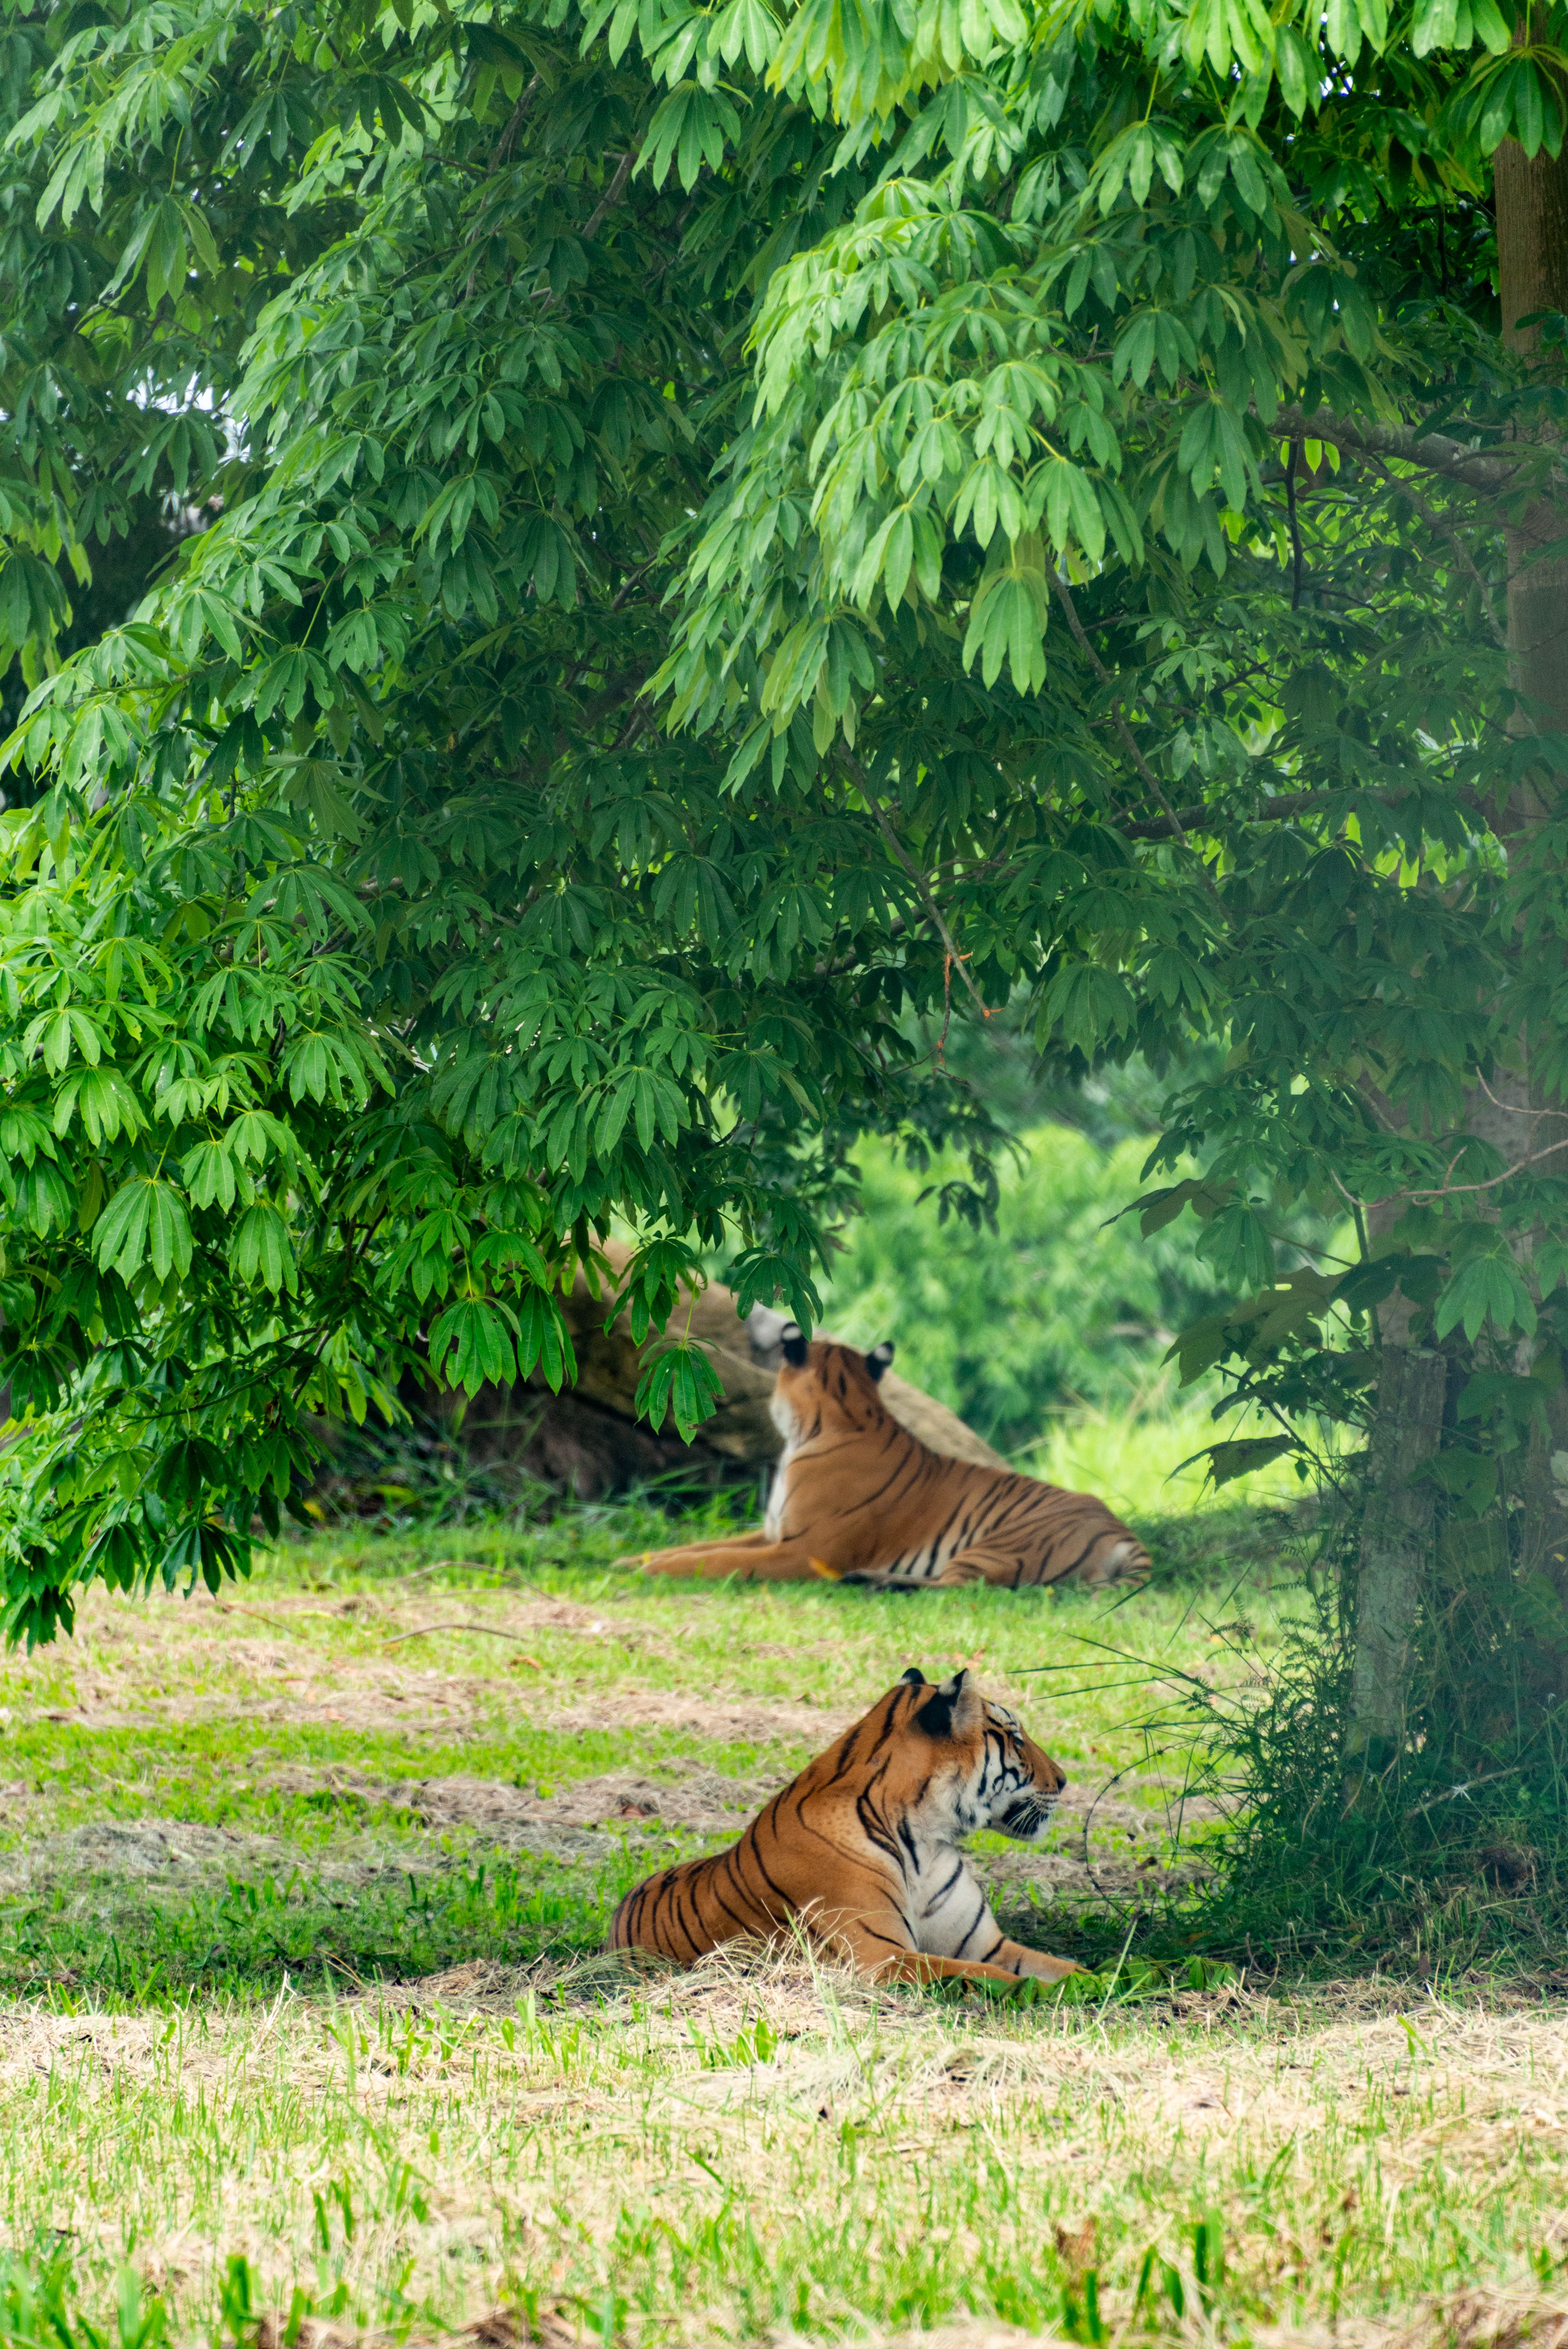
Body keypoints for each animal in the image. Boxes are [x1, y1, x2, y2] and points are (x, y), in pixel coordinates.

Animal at [608, 1667, 1082, 1987]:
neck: (928, 1837)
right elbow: (991, 1976)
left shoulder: (987, 1945)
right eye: (1016, 1738)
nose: (1063, 1781)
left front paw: (1093, 1983)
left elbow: (1062, 1967)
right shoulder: (882, 1956)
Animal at [636, 1330, 1151, 1589]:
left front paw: (649, 1571)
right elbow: (696, 1548)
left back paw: (873, 1581)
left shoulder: (804, 1550)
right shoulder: (773, 1533)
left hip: (1001, 1544)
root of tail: (1122, 1532)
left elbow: (717, 1560)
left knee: (958, 1587)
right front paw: (634, 1560)